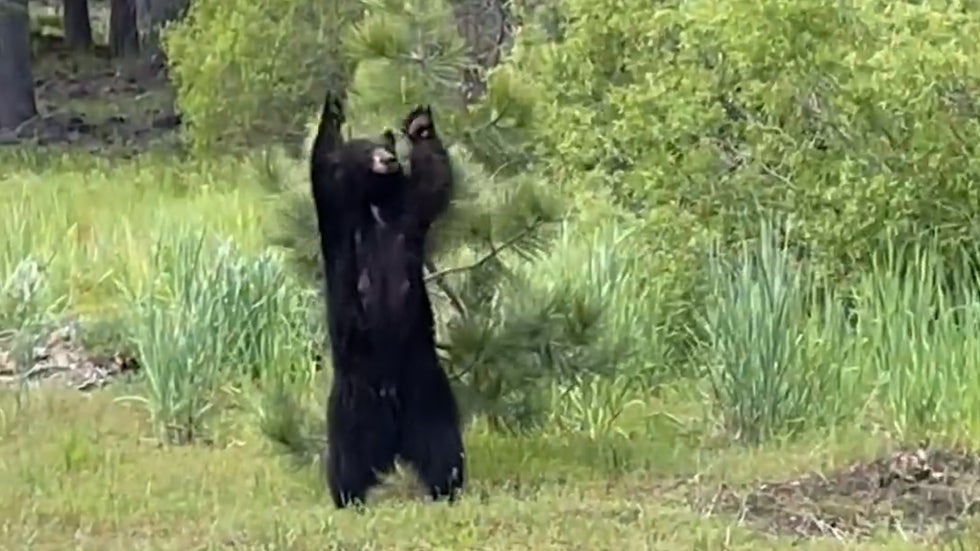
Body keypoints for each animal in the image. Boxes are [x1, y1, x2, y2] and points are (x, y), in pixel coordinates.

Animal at [309, 90, 465, 509]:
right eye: (366, 150)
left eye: (387, 145)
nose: (389, 159)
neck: (375, 206)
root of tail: (392, 440)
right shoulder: (338, 218)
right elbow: (321, 170)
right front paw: (331, 111)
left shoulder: (408, 212)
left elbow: (434, 182)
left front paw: (420, 125)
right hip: (351, 406)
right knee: (344, 460)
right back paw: (347, 497)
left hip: (428, 396)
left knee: (444, 448)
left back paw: (447, 488)